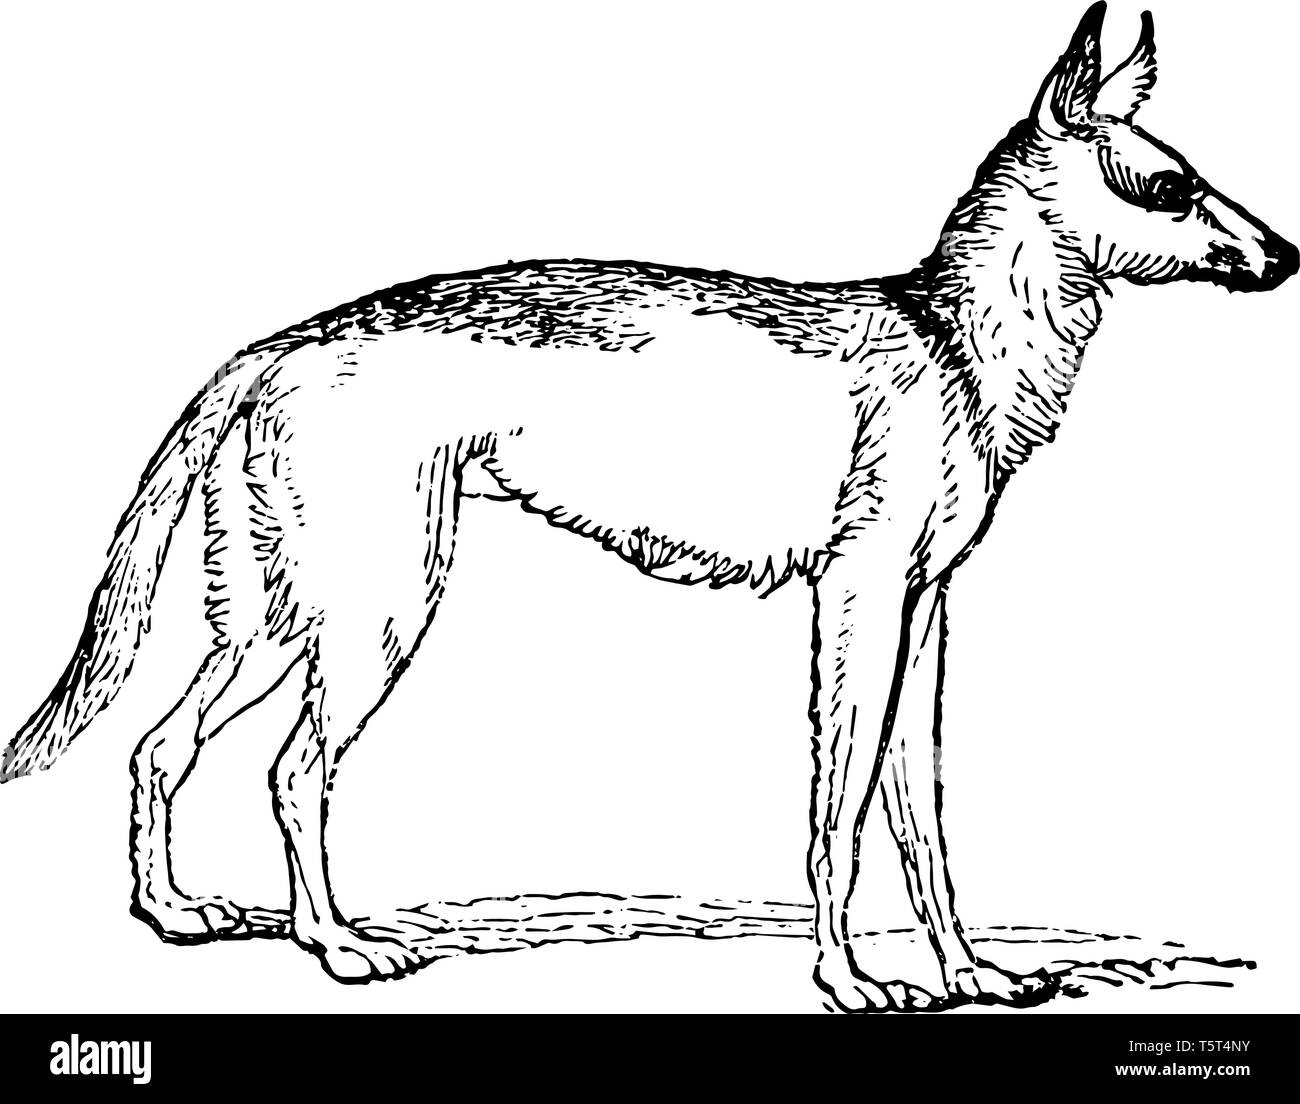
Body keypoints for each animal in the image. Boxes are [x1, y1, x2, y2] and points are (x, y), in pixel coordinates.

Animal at [4, 3, 1294, 1012]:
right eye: (1171, 190)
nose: (1285, 256)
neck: (956, 345)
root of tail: (276, 346)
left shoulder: (922, 615)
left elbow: (918, 819)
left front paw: (969, 975)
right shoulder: (856, 602)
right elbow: (835, 814)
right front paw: (849, 979)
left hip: (279, 619)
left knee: (160, 746)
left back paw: (173, 913)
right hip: (376, 617)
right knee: (290, 772)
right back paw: (337, 945)